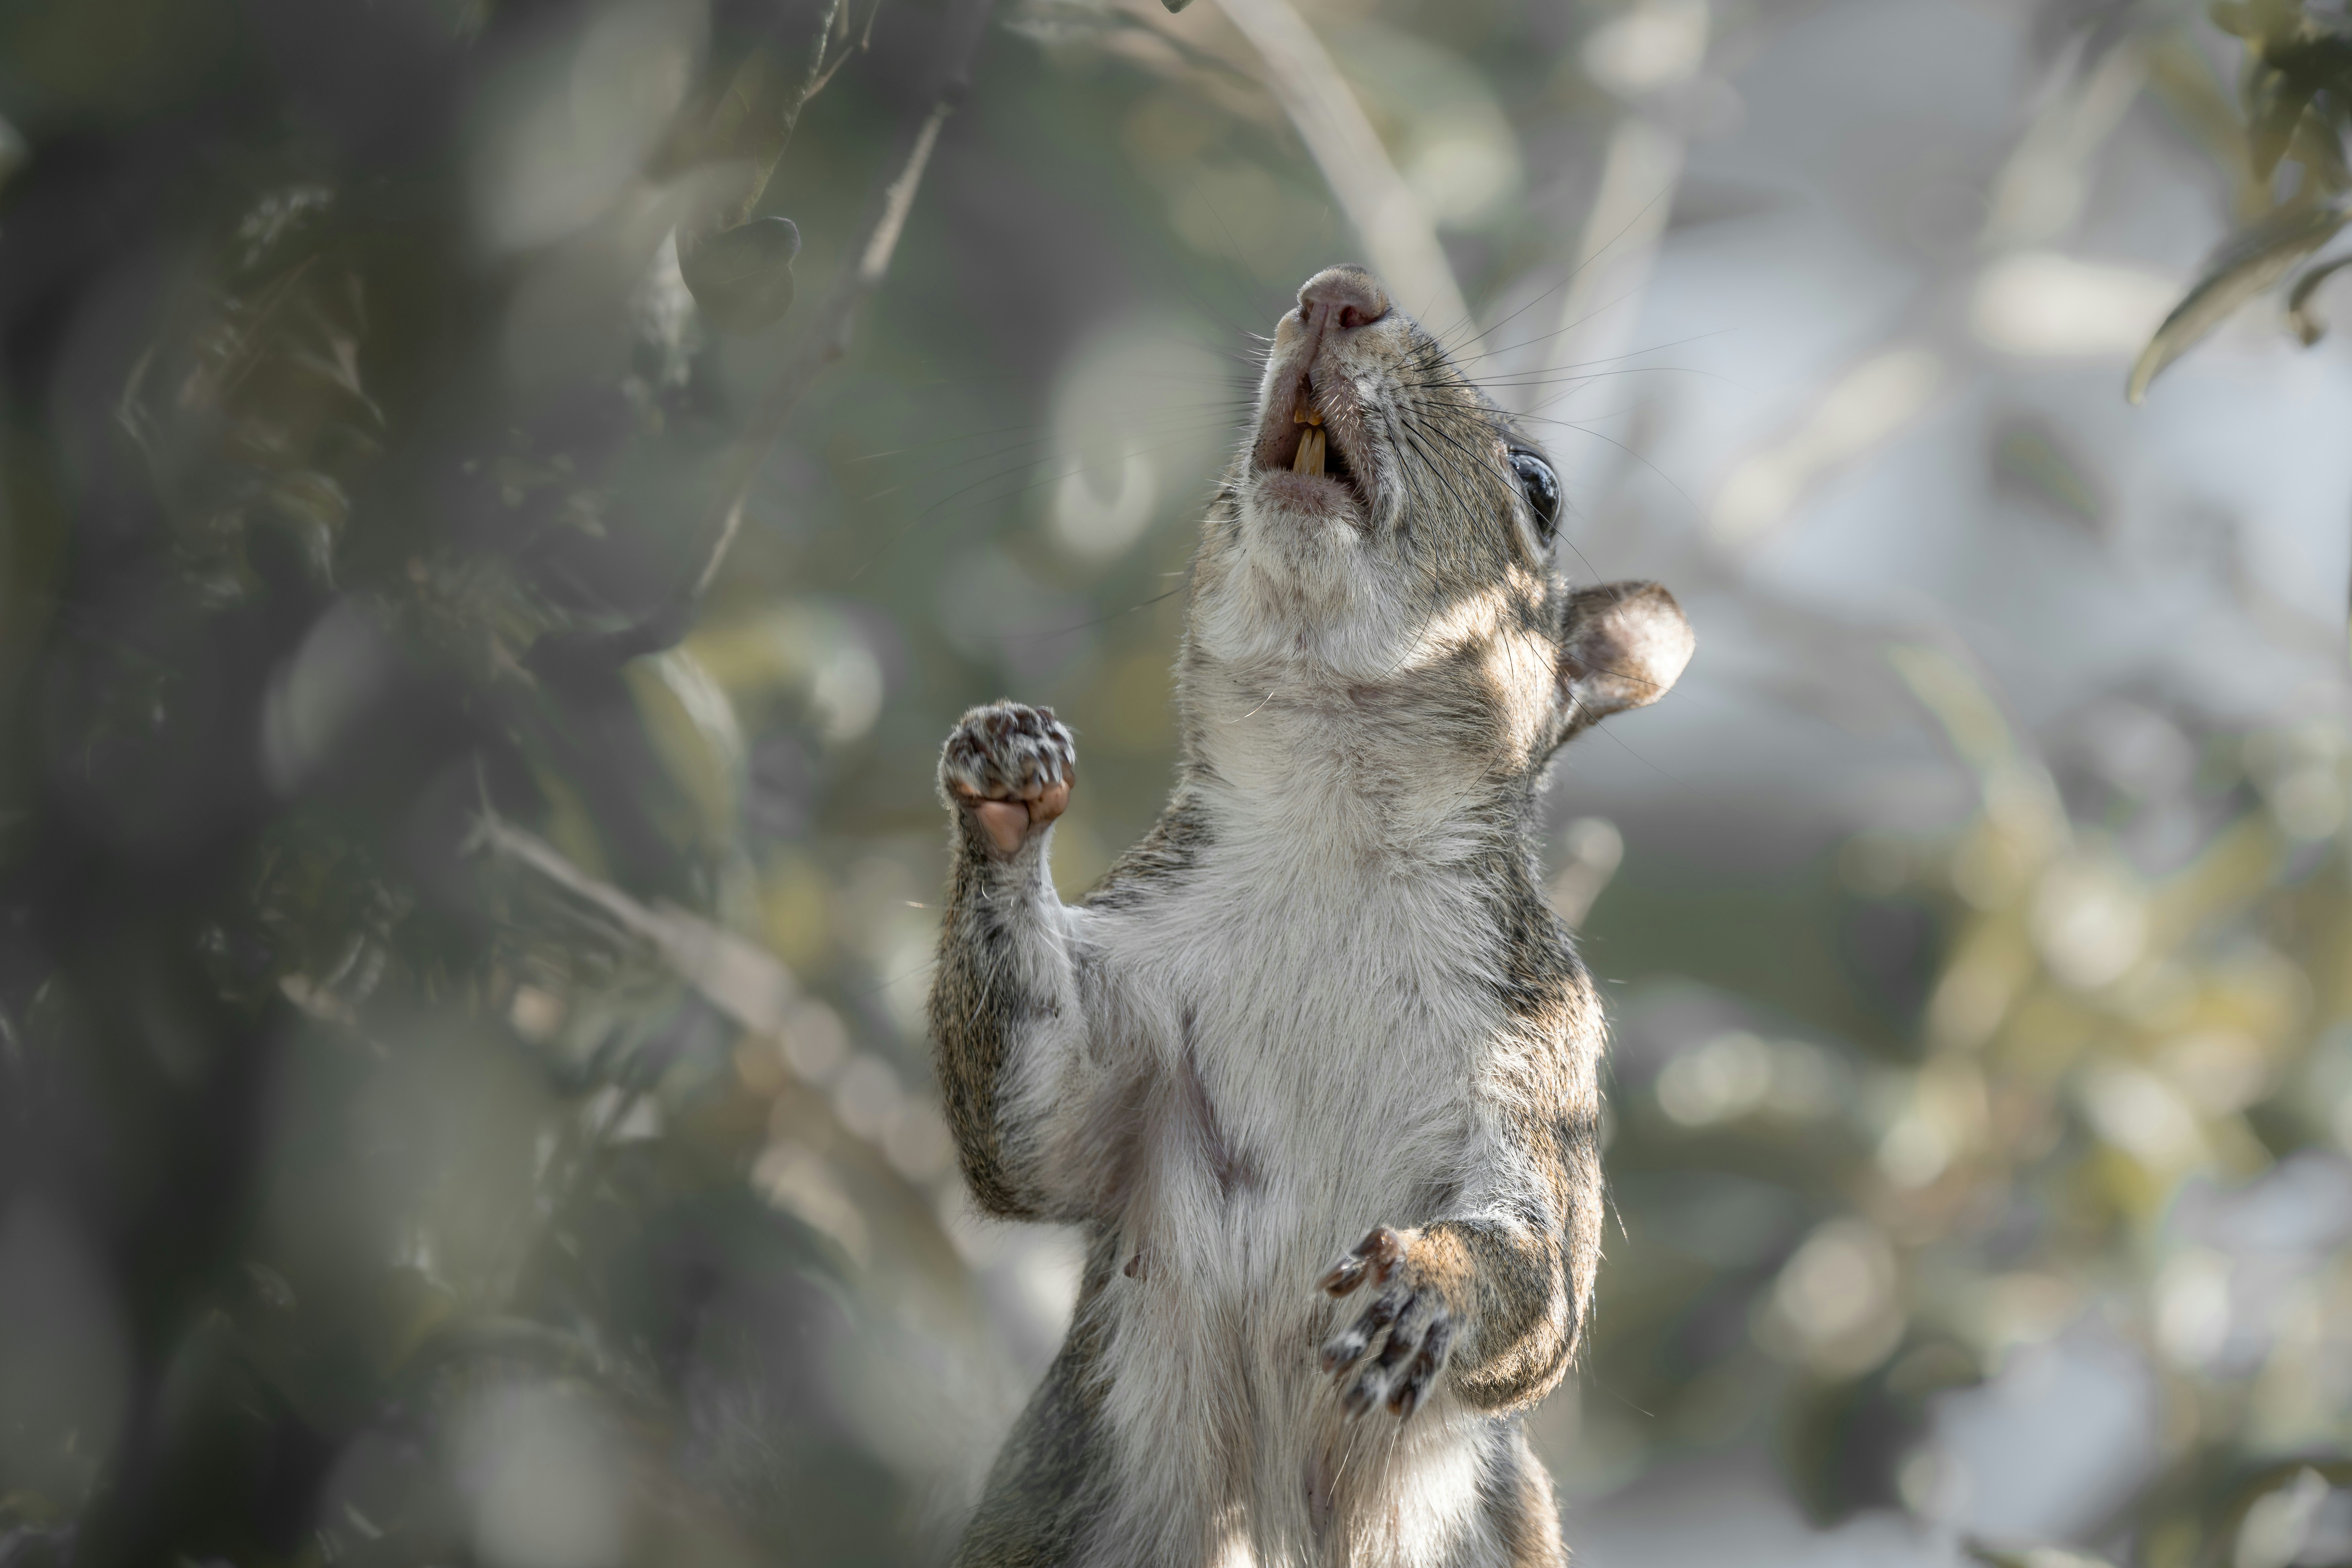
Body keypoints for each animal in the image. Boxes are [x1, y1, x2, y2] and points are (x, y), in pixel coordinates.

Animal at [926, 266, 1696, 1568]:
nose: (1336, 295)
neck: (1340, 815)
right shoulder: (1132, 985)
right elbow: (1028, 1141)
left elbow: (1540, 1272)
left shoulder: (1540, 1051)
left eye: (1540, 487)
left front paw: (1429, 1285)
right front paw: (1003, 779)